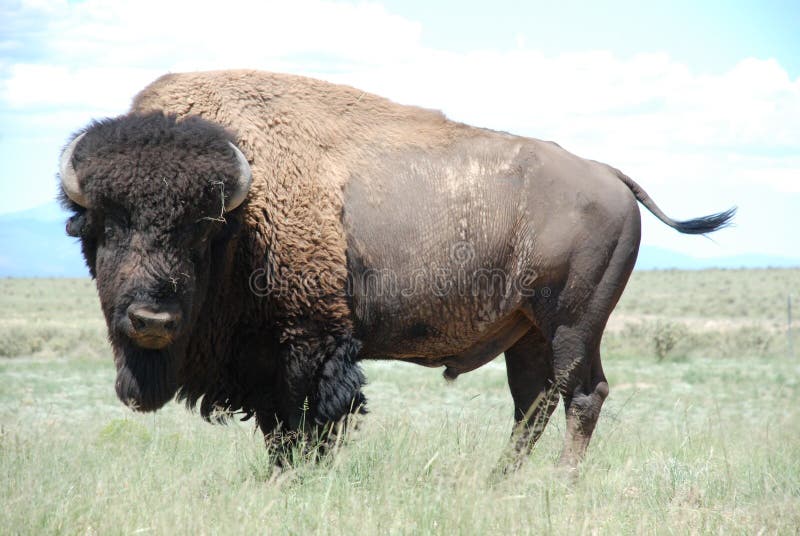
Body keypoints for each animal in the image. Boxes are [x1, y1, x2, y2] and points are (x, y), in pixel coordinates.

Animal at [60, 70, 734, 470]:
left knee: (581, 395)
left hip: (573, 324)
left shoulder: (306, 350)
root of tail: (610, 176)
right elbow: (283, 430)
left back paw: (561, 484)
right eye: (104, 225)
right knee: (533, 402)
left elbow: (303, 426)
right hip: (528, 332)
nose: (151, 319)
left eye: (199, 230)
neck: (245, 212)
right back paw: (497, 484)